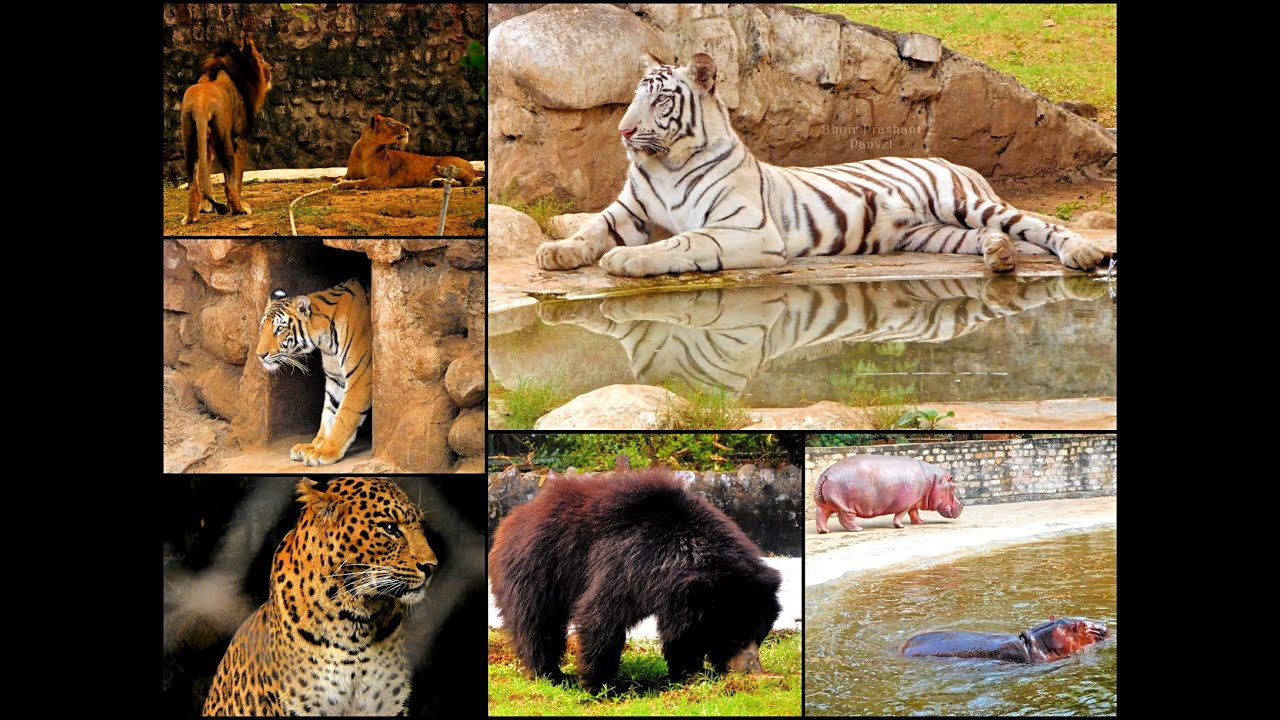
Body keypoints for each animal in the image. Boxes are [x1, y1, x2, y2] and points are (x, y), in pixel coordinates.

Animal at [179, 38, 272, 225]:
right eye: (260, 59)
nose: (270, 69)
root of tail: (199, 103)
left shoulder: (207, 145)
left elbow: (205, 174)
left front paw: (207, 207)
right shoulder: (240, 137)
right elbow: (238, 176)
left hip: (190, 139)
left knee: (193, 183)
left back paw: (191, 217)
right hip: (224, 138)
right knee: (229, 180)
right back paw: (239, 209)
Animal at [255, 278, 372, 466]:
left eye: (280, 329)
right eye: (261, 328)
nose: (260, 355)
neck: (326, 341)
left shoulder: (360, 375)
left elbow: (344, 416)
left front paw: (326, 451)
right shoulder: (335, 377)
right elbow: (329, 413)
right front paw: (312, 446)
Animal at [336, 114, 483, 190]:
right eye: (391, 122)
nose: (407, 128)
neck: (367, 149)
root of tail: (470, 164)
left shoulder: (379, 179)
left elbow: (358, 182)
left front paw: (339, 185)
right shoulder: (350, 174)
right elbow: (344, 177)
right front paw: (340, 181)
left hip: (448, 165)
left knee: (467, 179)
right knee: (456, 182)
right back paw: (437, 182)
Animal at [537, 53, 1110, 278]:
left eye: (658, 101)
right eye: (634, 98)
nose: (622, 132)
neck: (665, 165)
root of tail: (957, 162)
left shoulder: (748, 229)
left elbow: (685, 242)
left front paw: (628, 260)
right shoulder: (629, 211)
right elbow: (591, 229)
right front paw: (556, 252)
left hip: (963, 202)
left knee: (1040, 225)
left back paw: (1082, 253)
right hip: (930, 233)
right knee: (994, 237)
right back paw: (1000, 256)